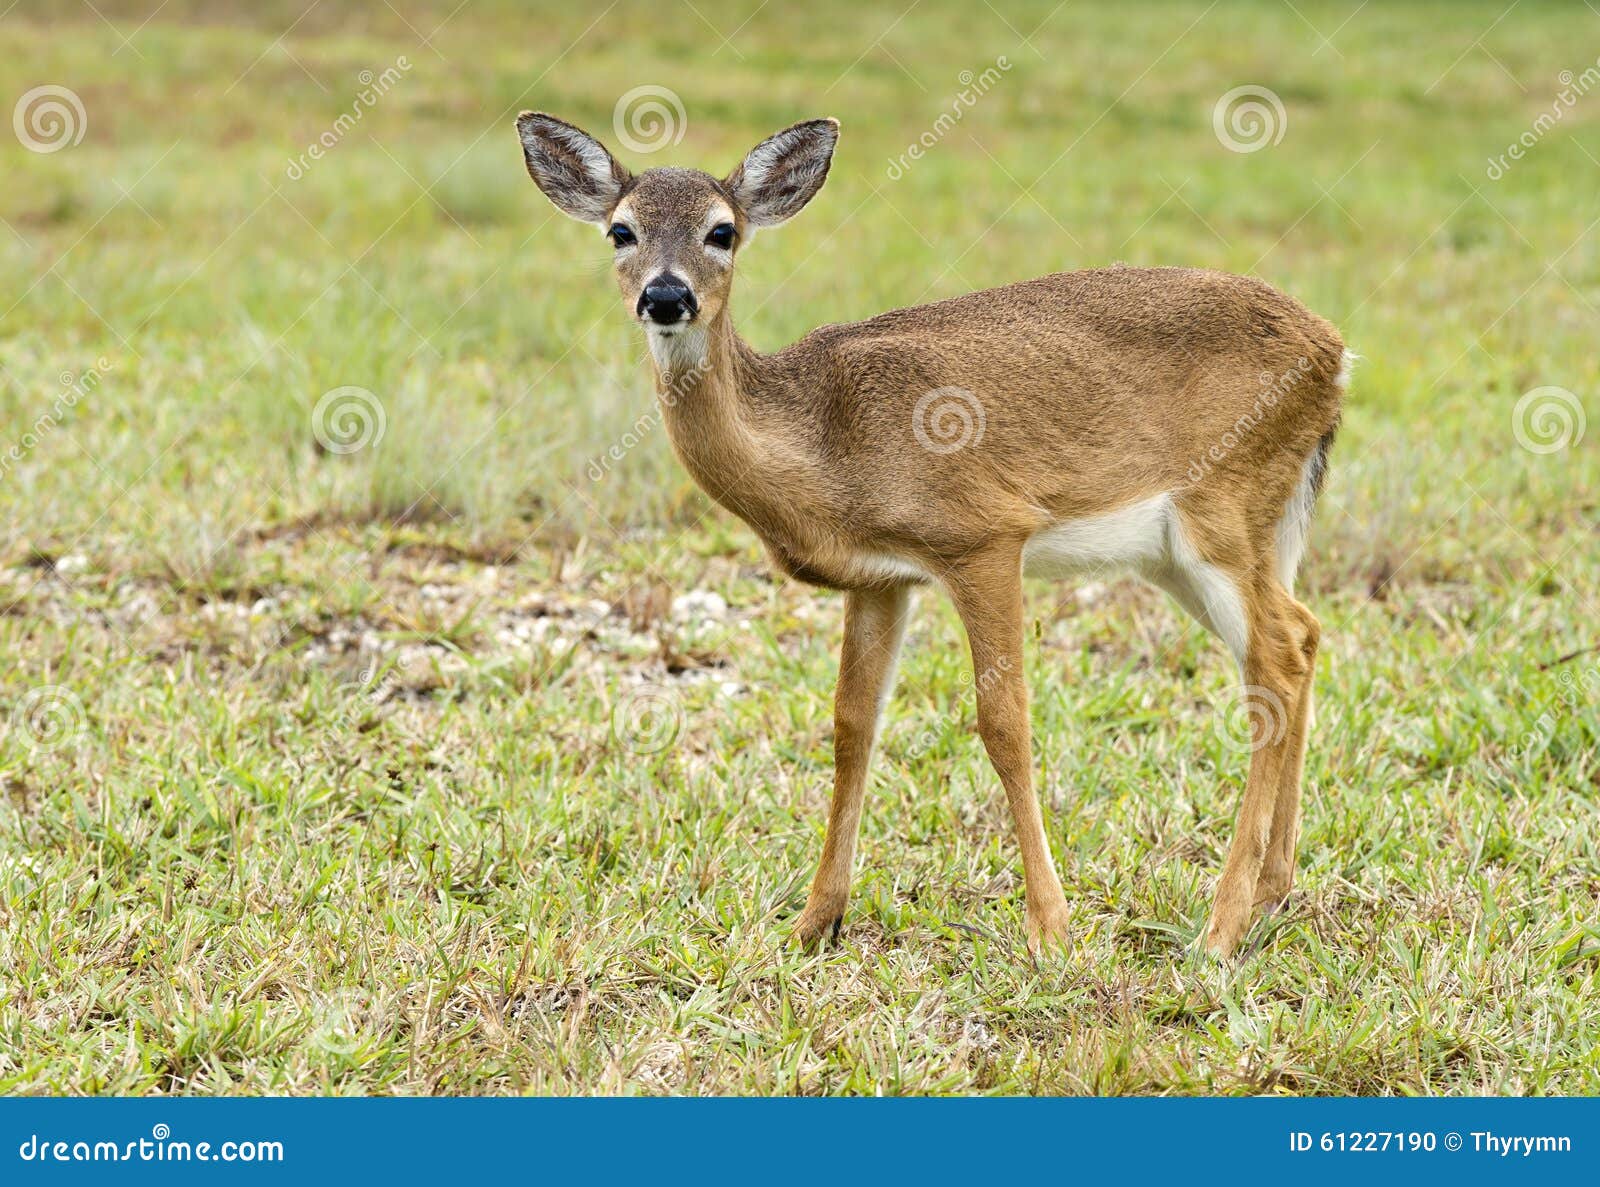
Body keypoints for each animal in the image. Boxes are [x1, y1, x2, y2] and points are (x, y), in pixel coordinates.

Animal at [516, 112, 1351, 959]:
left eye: (723, 231)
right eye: (621, 230)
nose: (666, 295)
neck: (823, 440)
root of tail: (1335, 353)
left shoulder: (983, 533)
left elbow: (1004, 721)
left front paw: (1051, 929)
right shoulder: (881, 577)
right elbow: (853, 726)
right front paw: (814, 921)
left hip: (1221, 506)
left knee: (1276, 659)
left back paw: (1218, 928)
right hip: (1192, 547)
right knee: (1301, 637)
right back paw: (1271, 891)